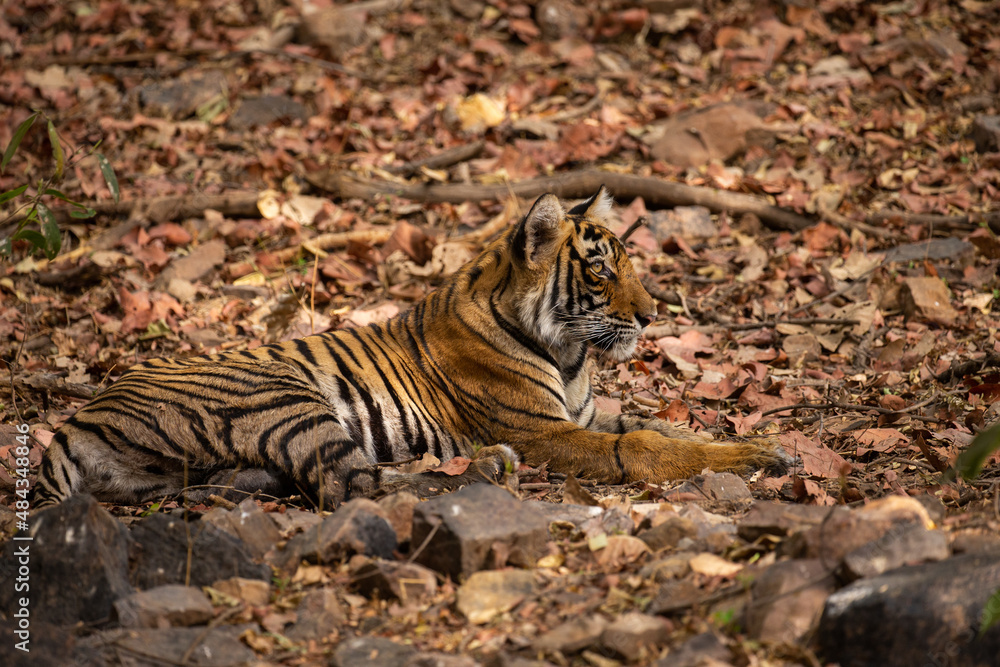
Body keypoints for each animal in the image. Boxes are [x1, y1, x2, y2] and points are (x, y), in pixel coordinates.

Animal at [32, 186, 793, 510]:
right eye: (603, 272)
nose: (653, 315)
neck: (570, 355)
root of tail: (73, 419)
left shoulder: (580, 414)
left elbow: (667, 428)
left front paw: (760, 447)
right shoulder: (544, 430)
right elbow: (648, 446)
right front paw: (759, 457)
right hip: (283, 401)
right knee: (354, 485)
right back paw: (485, 467)